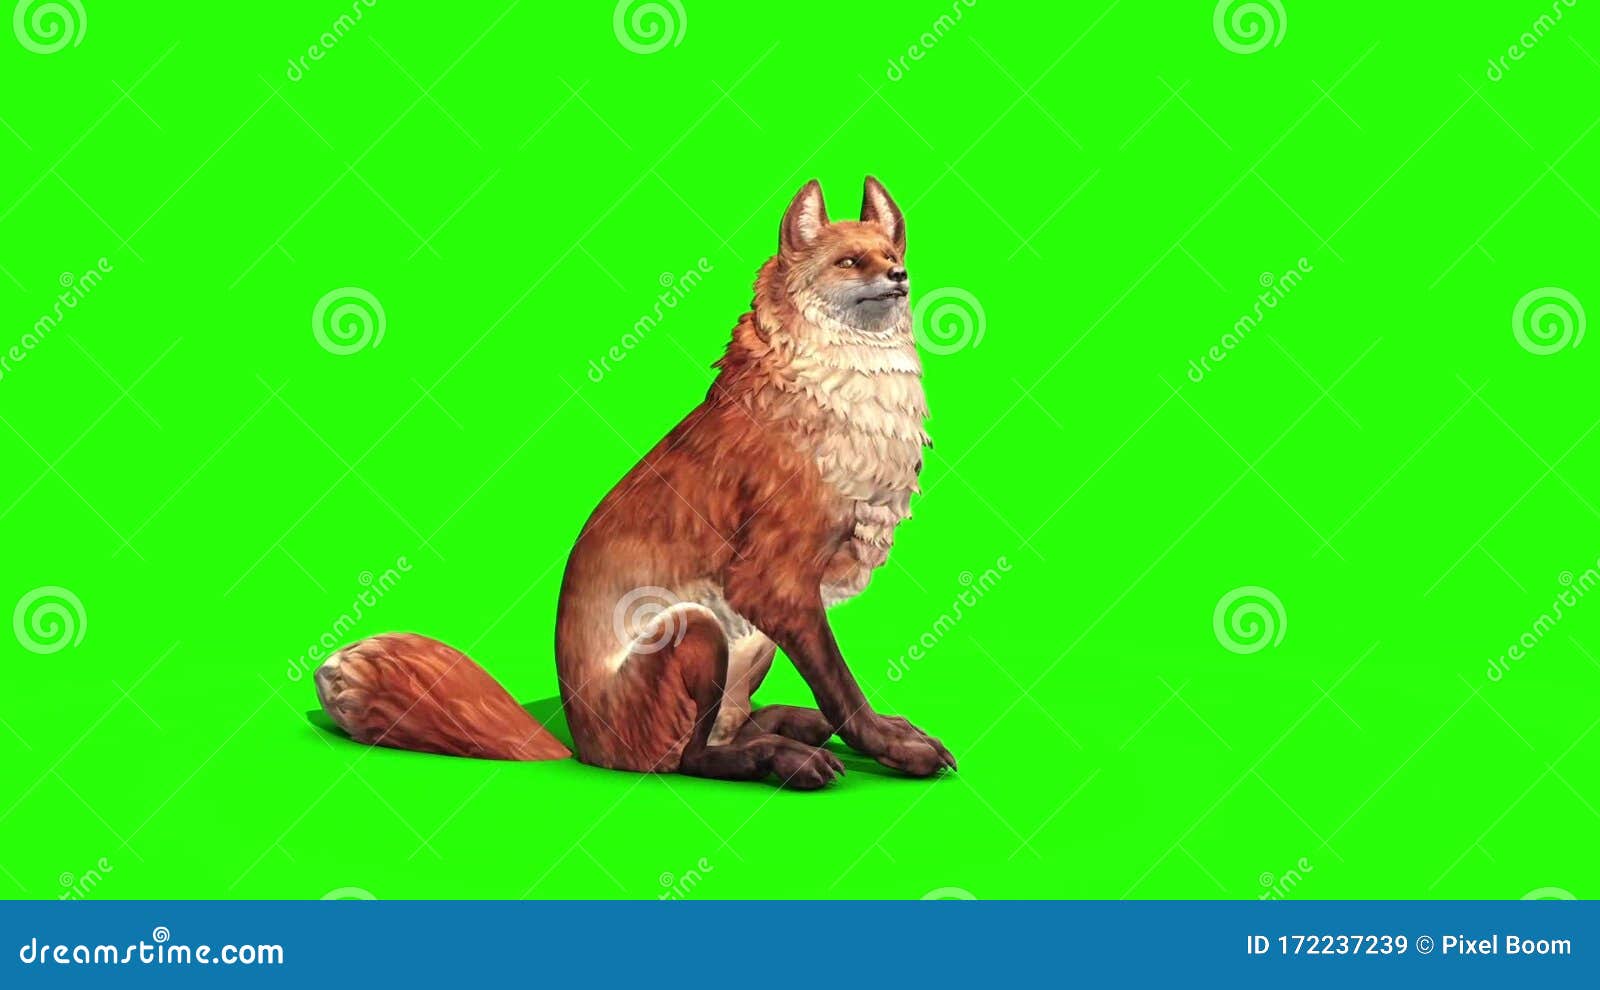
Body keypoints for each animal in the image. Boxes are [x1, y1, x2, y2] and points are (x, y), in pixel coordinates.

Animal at [315, 176, 955, 788]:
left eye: (891, 254)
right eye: (849, 261)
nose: (900, 276)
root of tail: (582, 749)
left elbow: (839, 688)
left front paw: (886, 732)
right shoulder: (772, 584)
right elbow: (842, 687)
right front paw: (892, 748)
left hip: (749, 646)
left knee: (728, 729)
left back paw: (790, 726)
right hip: (697, 630)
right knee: (692, 758)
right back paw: (785, 757)